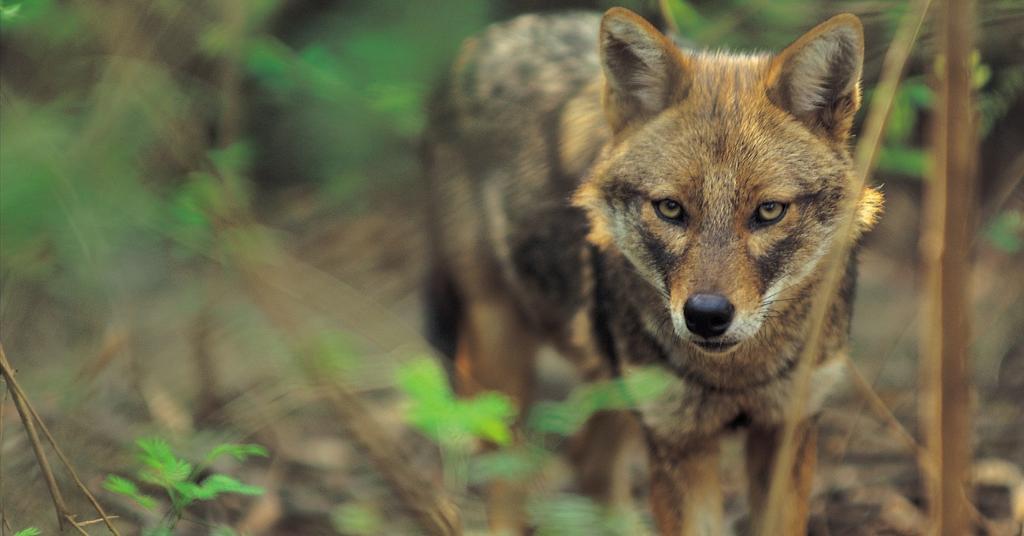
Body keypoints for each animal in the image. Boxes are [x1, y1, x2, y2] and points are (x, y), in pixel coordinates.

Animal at [422, 7, 882, 535]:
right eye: (670, 209)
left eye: (768, 212)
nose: (706, 315)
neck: (736, 374)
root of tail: (483, 42)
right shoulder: (679, 444)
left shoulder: (786, 432)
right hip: (504, 352)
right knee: (507, 474)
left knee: (587, 460)